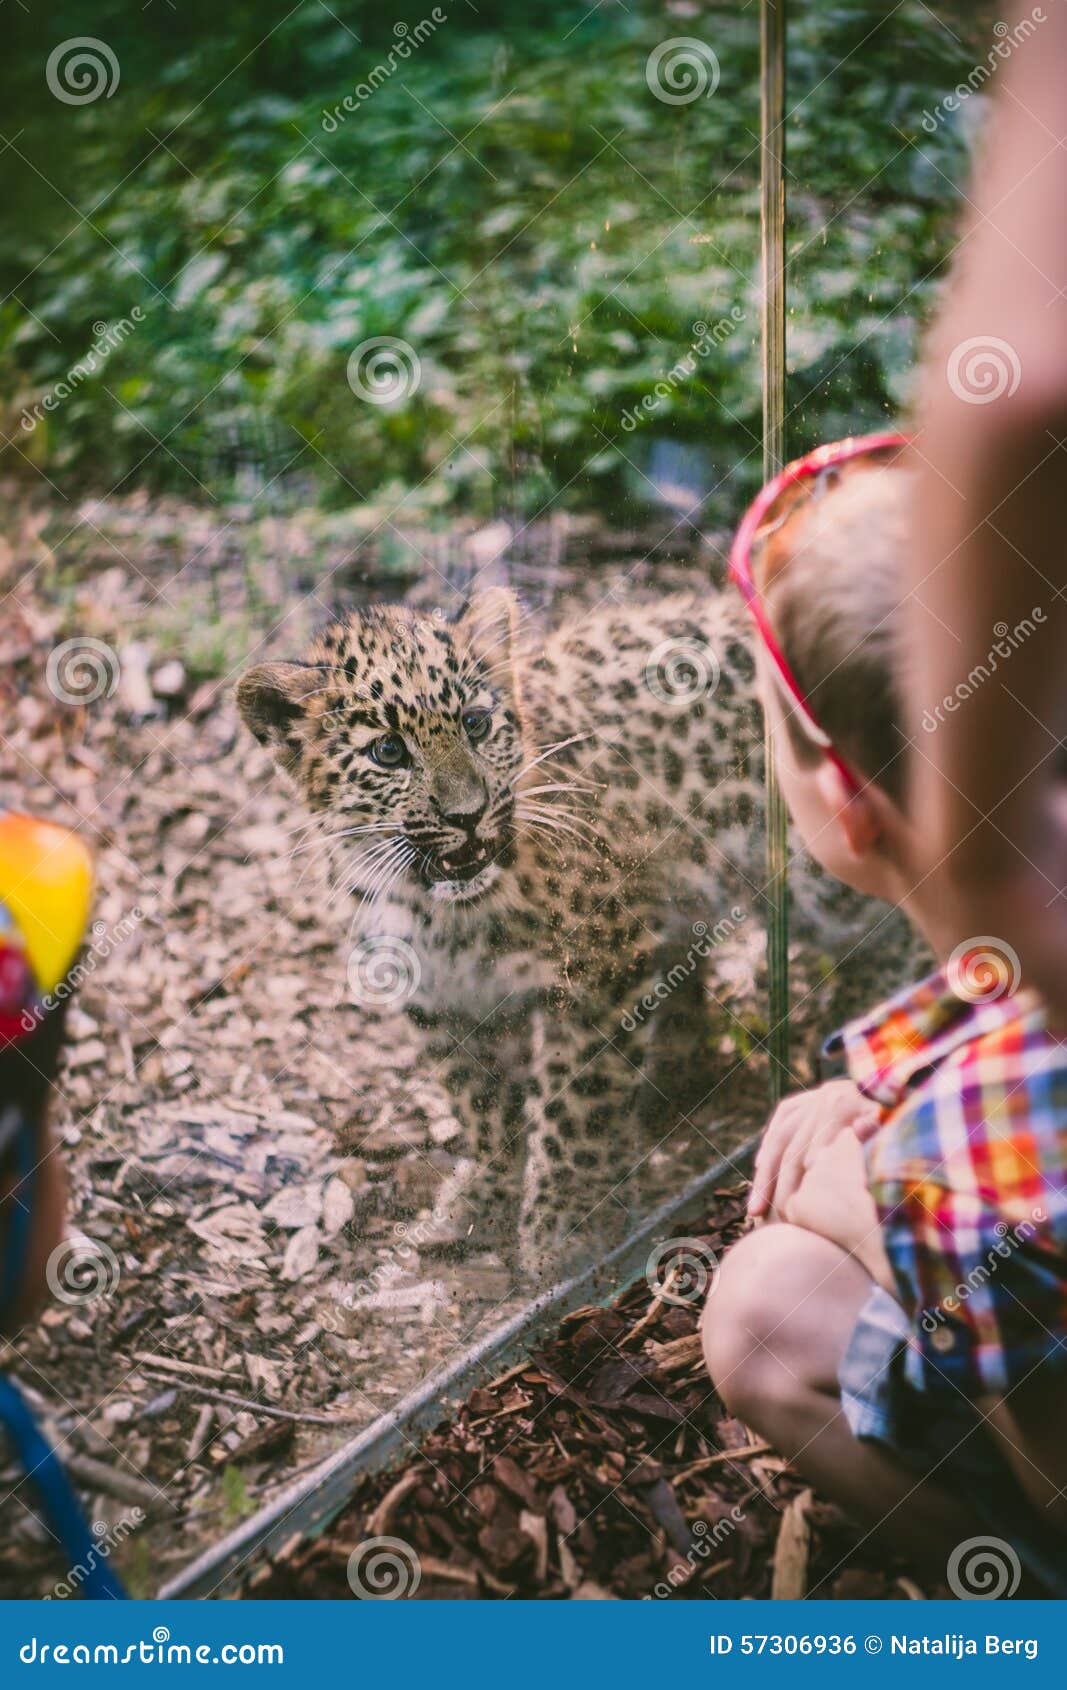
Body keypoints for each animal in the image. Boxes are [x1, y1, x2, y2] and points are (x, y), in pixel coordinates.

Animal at [236, 585, 912, 1280]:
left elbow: (577, 1101)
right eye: (388, 752)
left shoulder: (602, 965)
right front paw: (481, 1198)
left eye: (475, 725)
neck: (441, 913)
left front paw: (564, 1225)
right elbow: (478, 1103)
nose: (468, 814)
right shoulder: (441, 1002)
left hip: (817, 862)